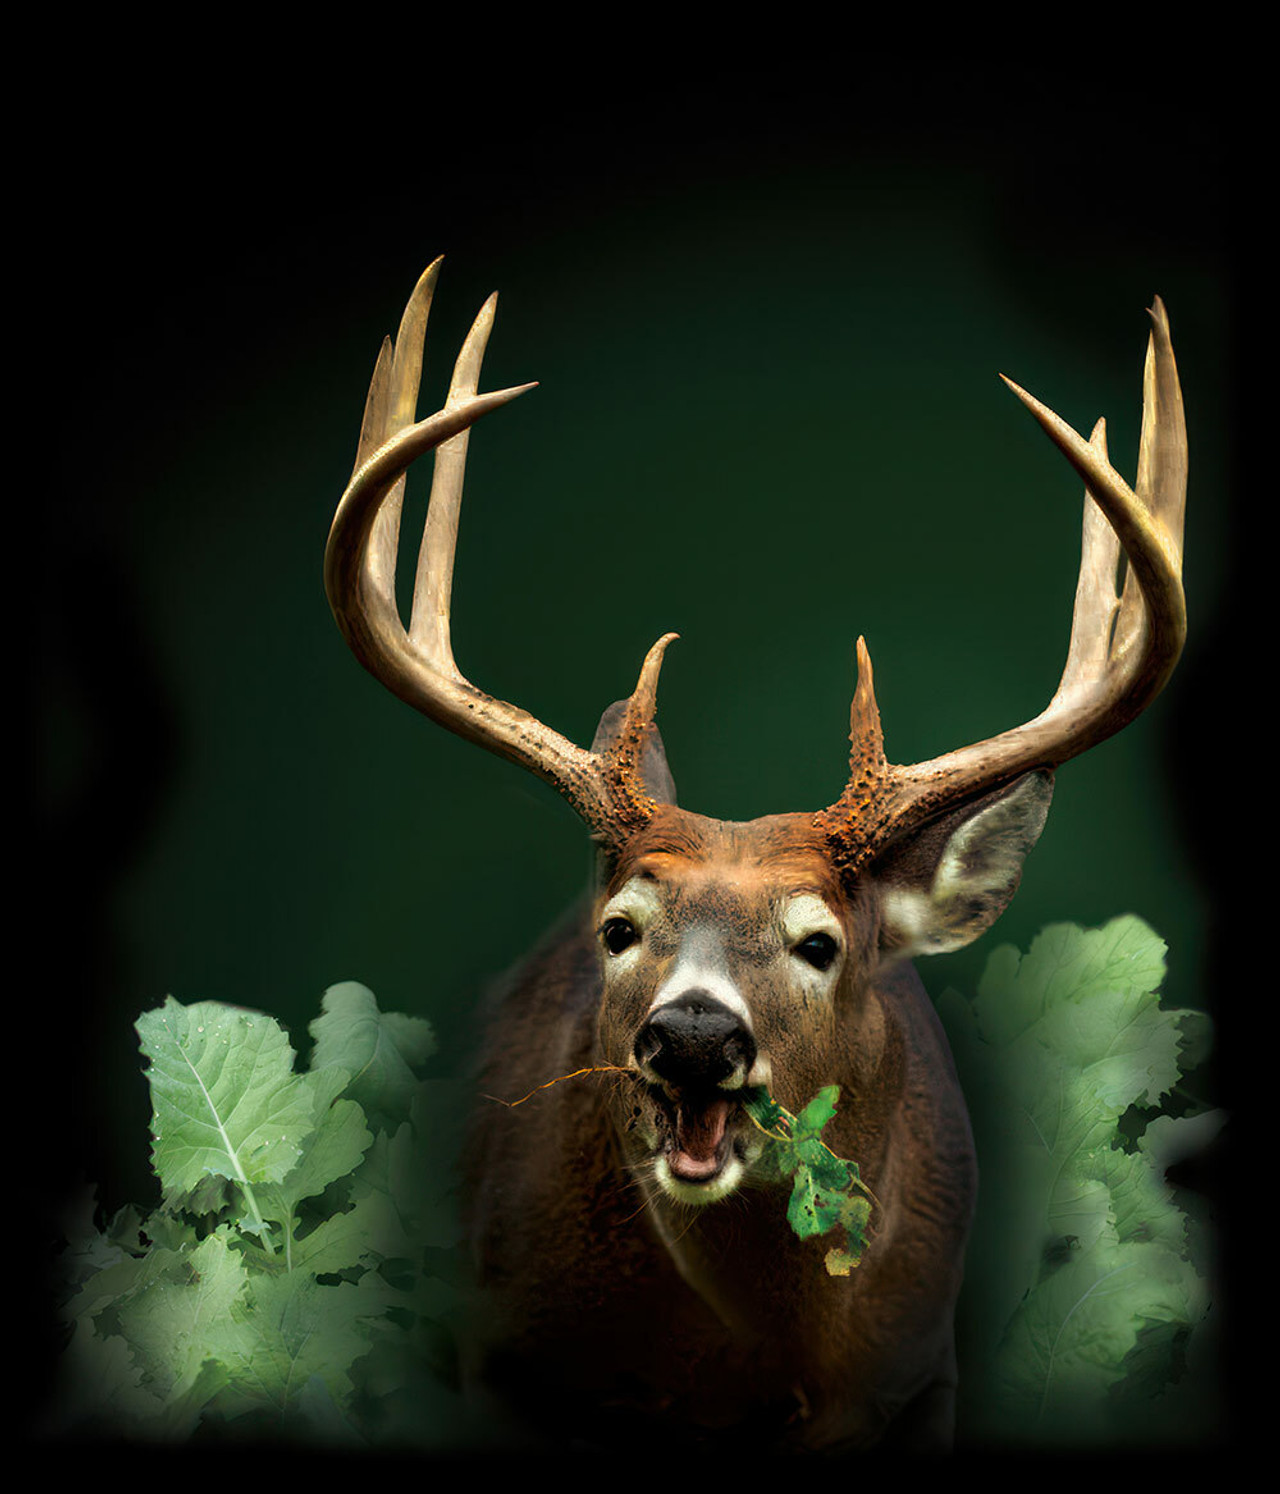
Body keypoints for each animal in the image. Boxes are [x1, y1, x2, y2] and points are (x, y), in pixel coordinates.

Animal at [323, 260, 1187, 1453]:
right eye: (620, 929)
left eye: (820, 944)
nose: (692, 1033)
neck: (752, 1365)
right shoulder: (497, 1356)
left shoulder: (922, 1373)